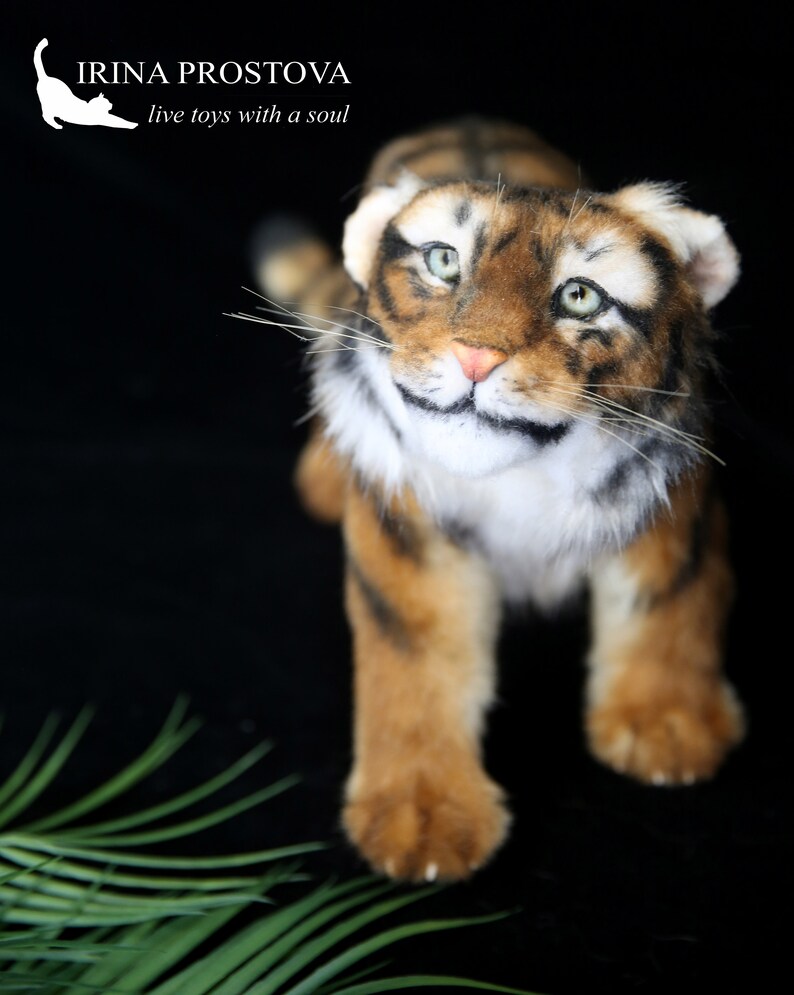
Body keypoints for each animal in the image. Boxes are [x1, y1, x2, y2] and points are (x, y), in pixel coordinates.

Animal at [249, 119, 745, 883]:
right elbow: (416, 666)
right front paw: (421, 822)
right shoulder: (408, 530)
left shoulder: (670, 493)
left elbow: (672, 606)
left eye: (579, 296)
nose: (477, 358)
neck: (521, 477)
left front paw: (668, 728)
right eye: (444, 262)